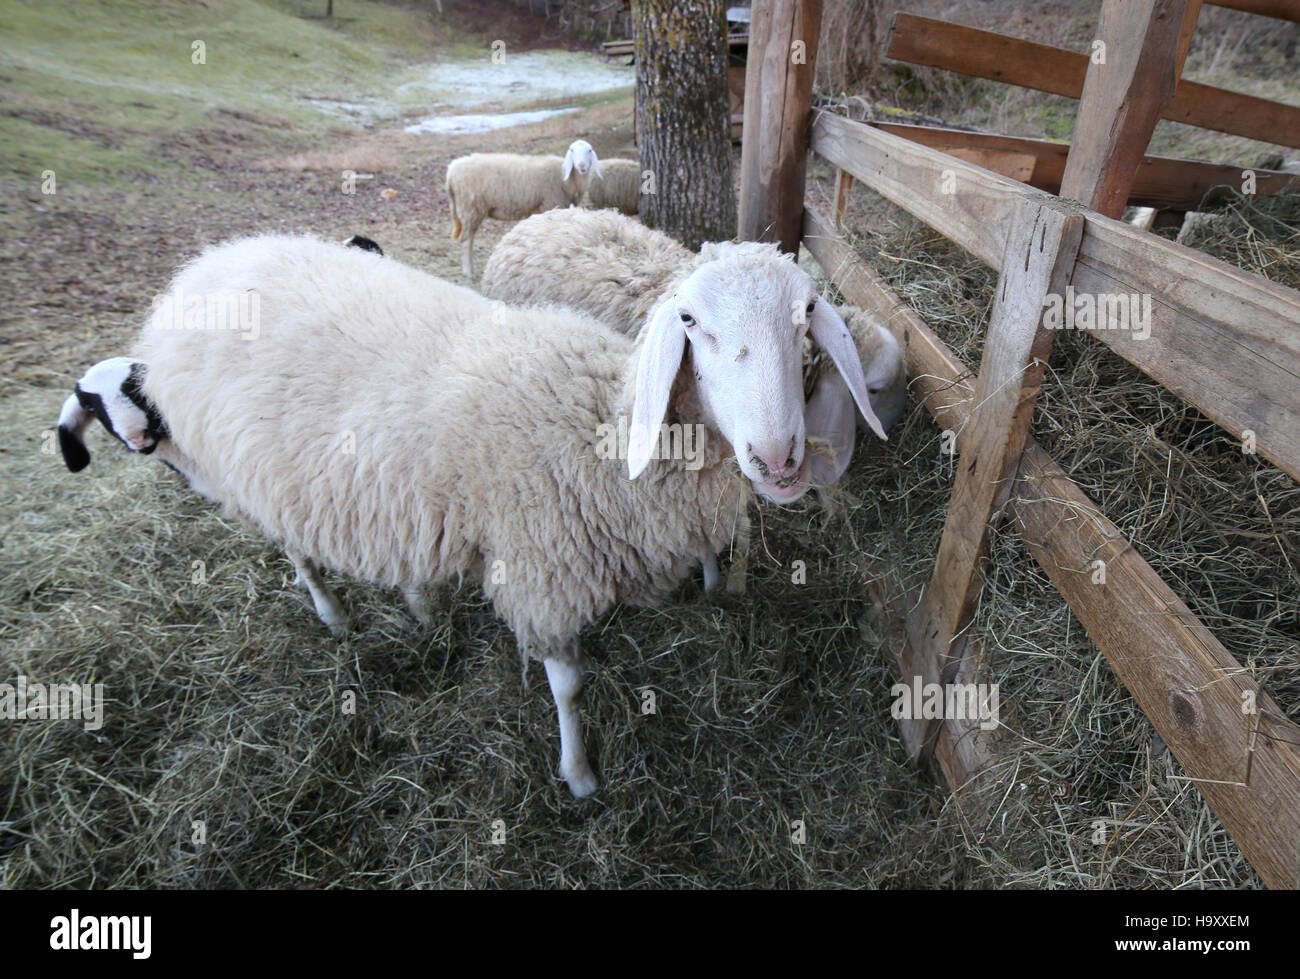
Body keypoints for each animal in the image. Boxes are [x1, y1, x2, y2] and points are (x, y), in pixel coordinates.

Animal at [67, 233, 883, 798]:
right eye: (689, 319)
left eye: (808, 311)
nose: (779, 458)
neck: (604, 422)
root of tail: (200, 270)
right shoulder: (542, 569)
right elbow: (569, 686)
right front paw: (580, 775)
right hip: (250, 481)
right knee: (297, 555)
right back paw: (334, 615)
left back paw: (422, 608)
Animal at [444, 138, 601, 280]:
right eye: (572, 150)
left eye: (589, 150)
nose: (581, 166)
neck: (566, 177)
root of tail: (451, 170)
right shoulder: (550, 203)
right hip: (471, 208)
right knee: (466, 241)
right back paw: (468, 272)